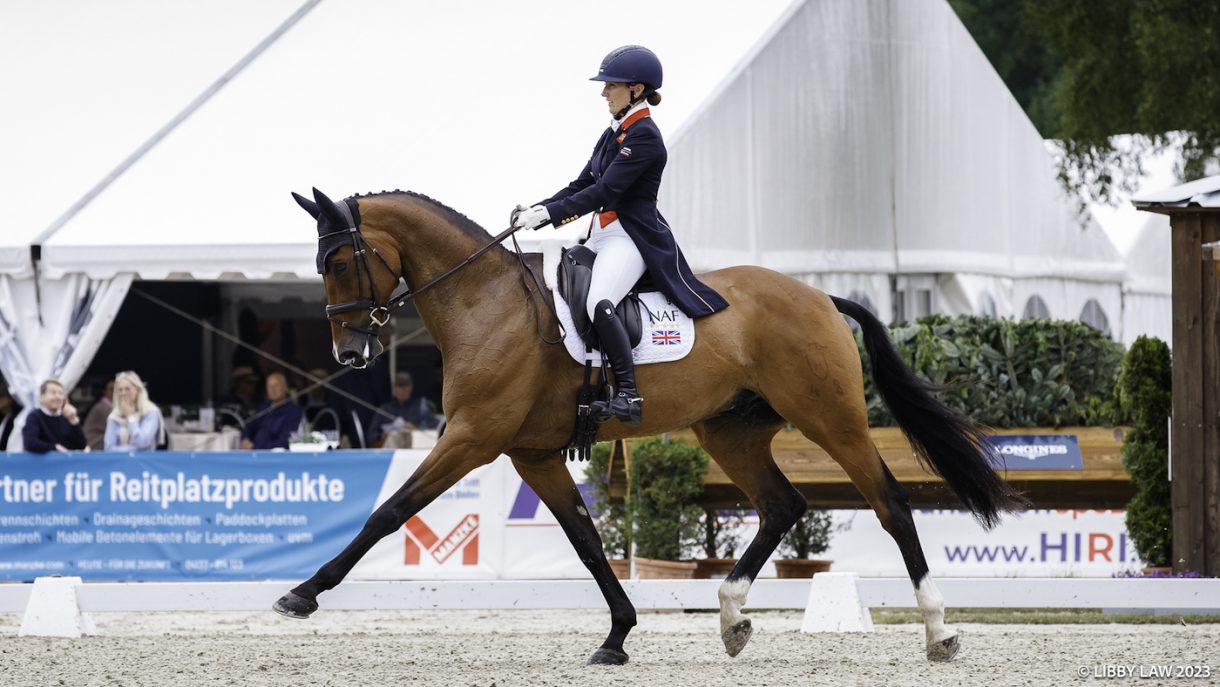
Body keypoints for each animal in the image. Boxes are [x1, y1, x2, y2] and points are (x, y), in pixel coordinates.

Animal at [275, 187, 1027, 665]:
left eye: (338, 260)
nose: (348, 354)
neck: (484, 301)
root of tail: (818, 294)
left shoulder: (471, 437)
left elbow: (390, 511)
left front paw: (301, 593)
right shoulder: (532, 454)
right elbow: (585, 542)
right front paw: (617, 637)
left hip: (830, 417)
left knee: (889, 501)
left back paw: (938, 632)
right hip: (730, 431)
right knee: (783, 505)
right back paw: (731, 616)